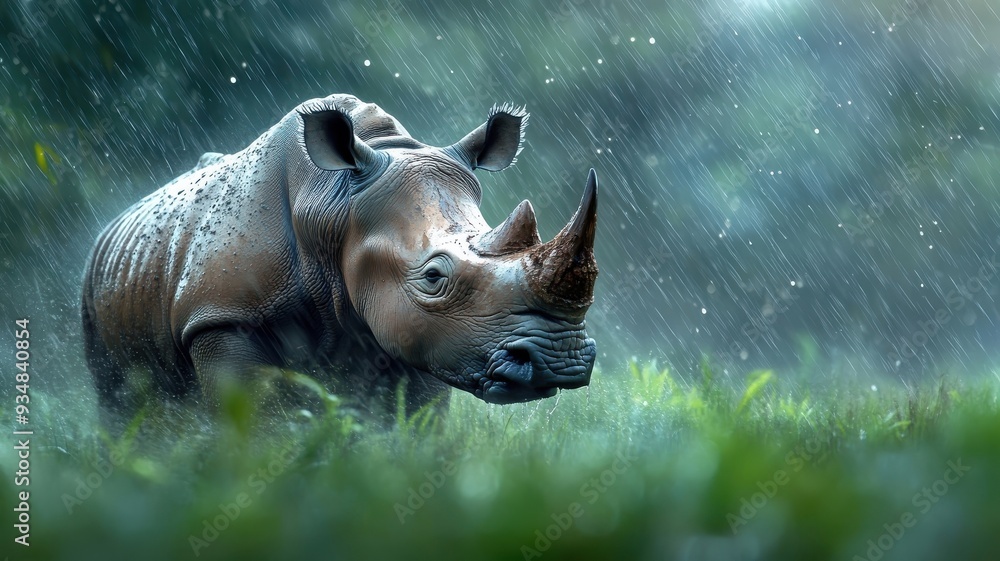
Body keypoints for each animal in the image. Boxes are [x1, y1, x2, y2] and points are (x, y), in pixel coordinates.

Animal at [81, 94, 599, 420]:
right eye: (433, 277)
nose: (560, 359)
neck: (335, 204)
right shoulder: (220, 316)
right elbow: (258, 424)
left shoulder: (426, 335)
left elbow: (416, 429)